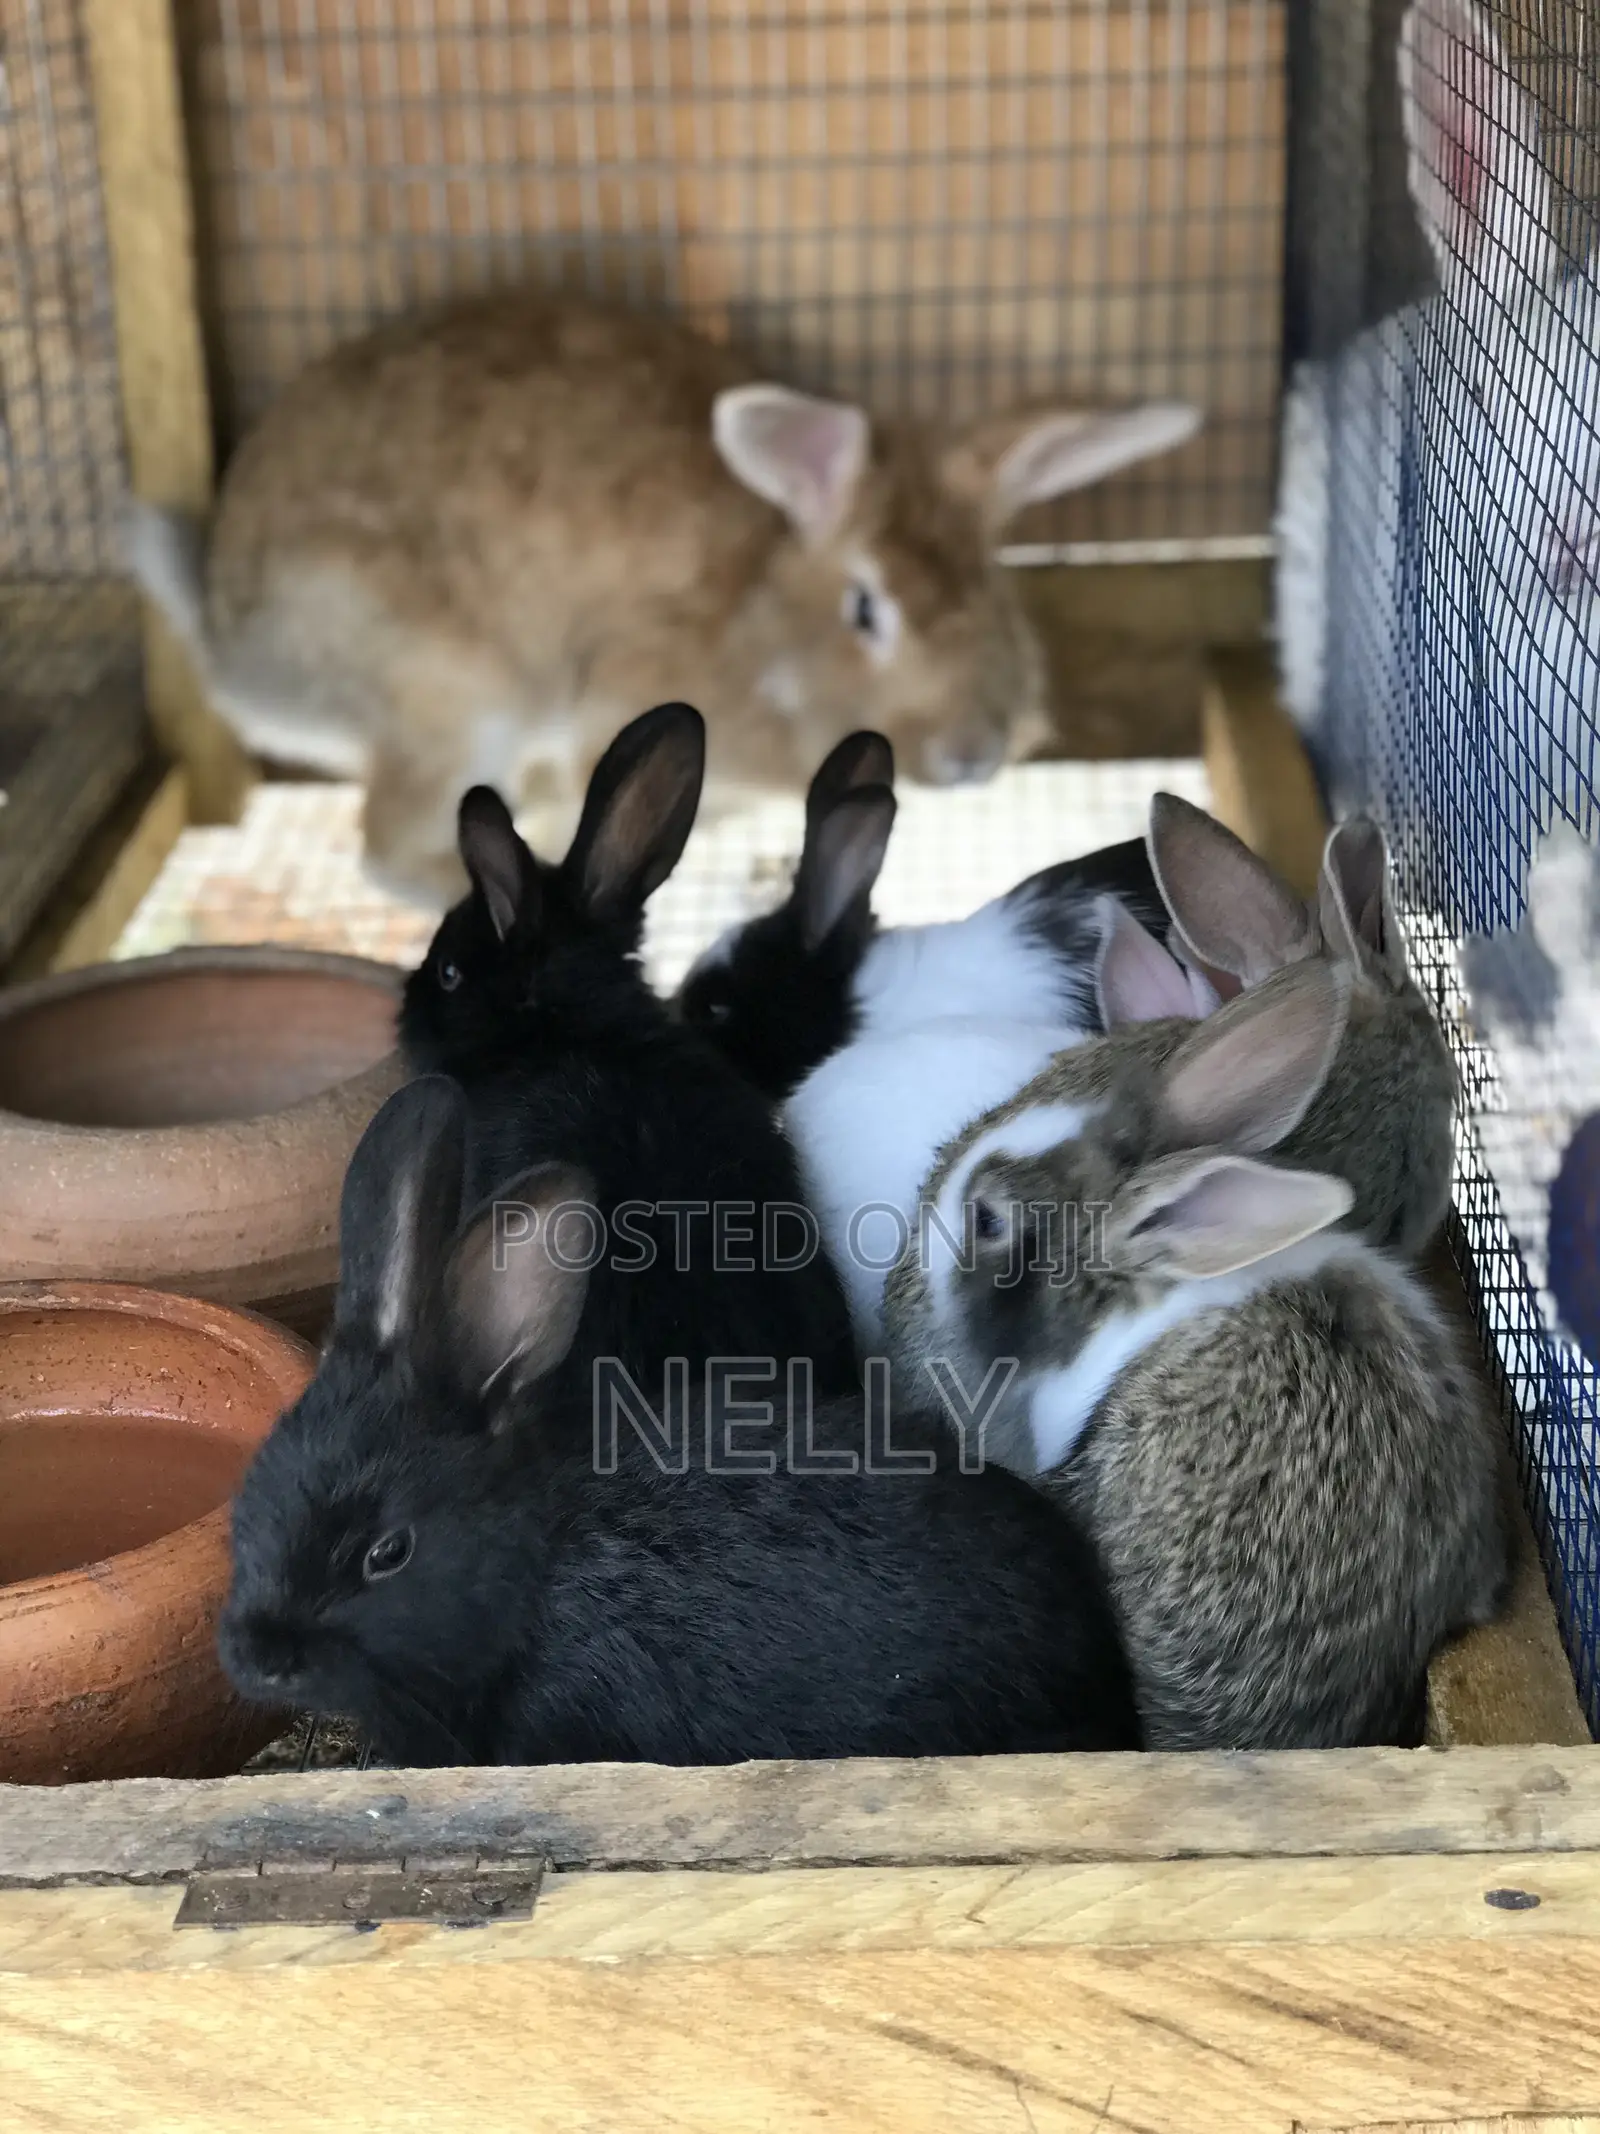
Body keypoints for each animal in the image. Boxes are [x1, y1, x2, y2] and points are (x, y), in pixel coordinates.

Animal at [126, 290, 1200, 906]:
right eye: (867, 610)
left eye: (995, 589)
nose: (974, 756)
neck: (761, 613)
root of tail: (233, 646)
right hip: (455, 697)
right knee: (389, 852)